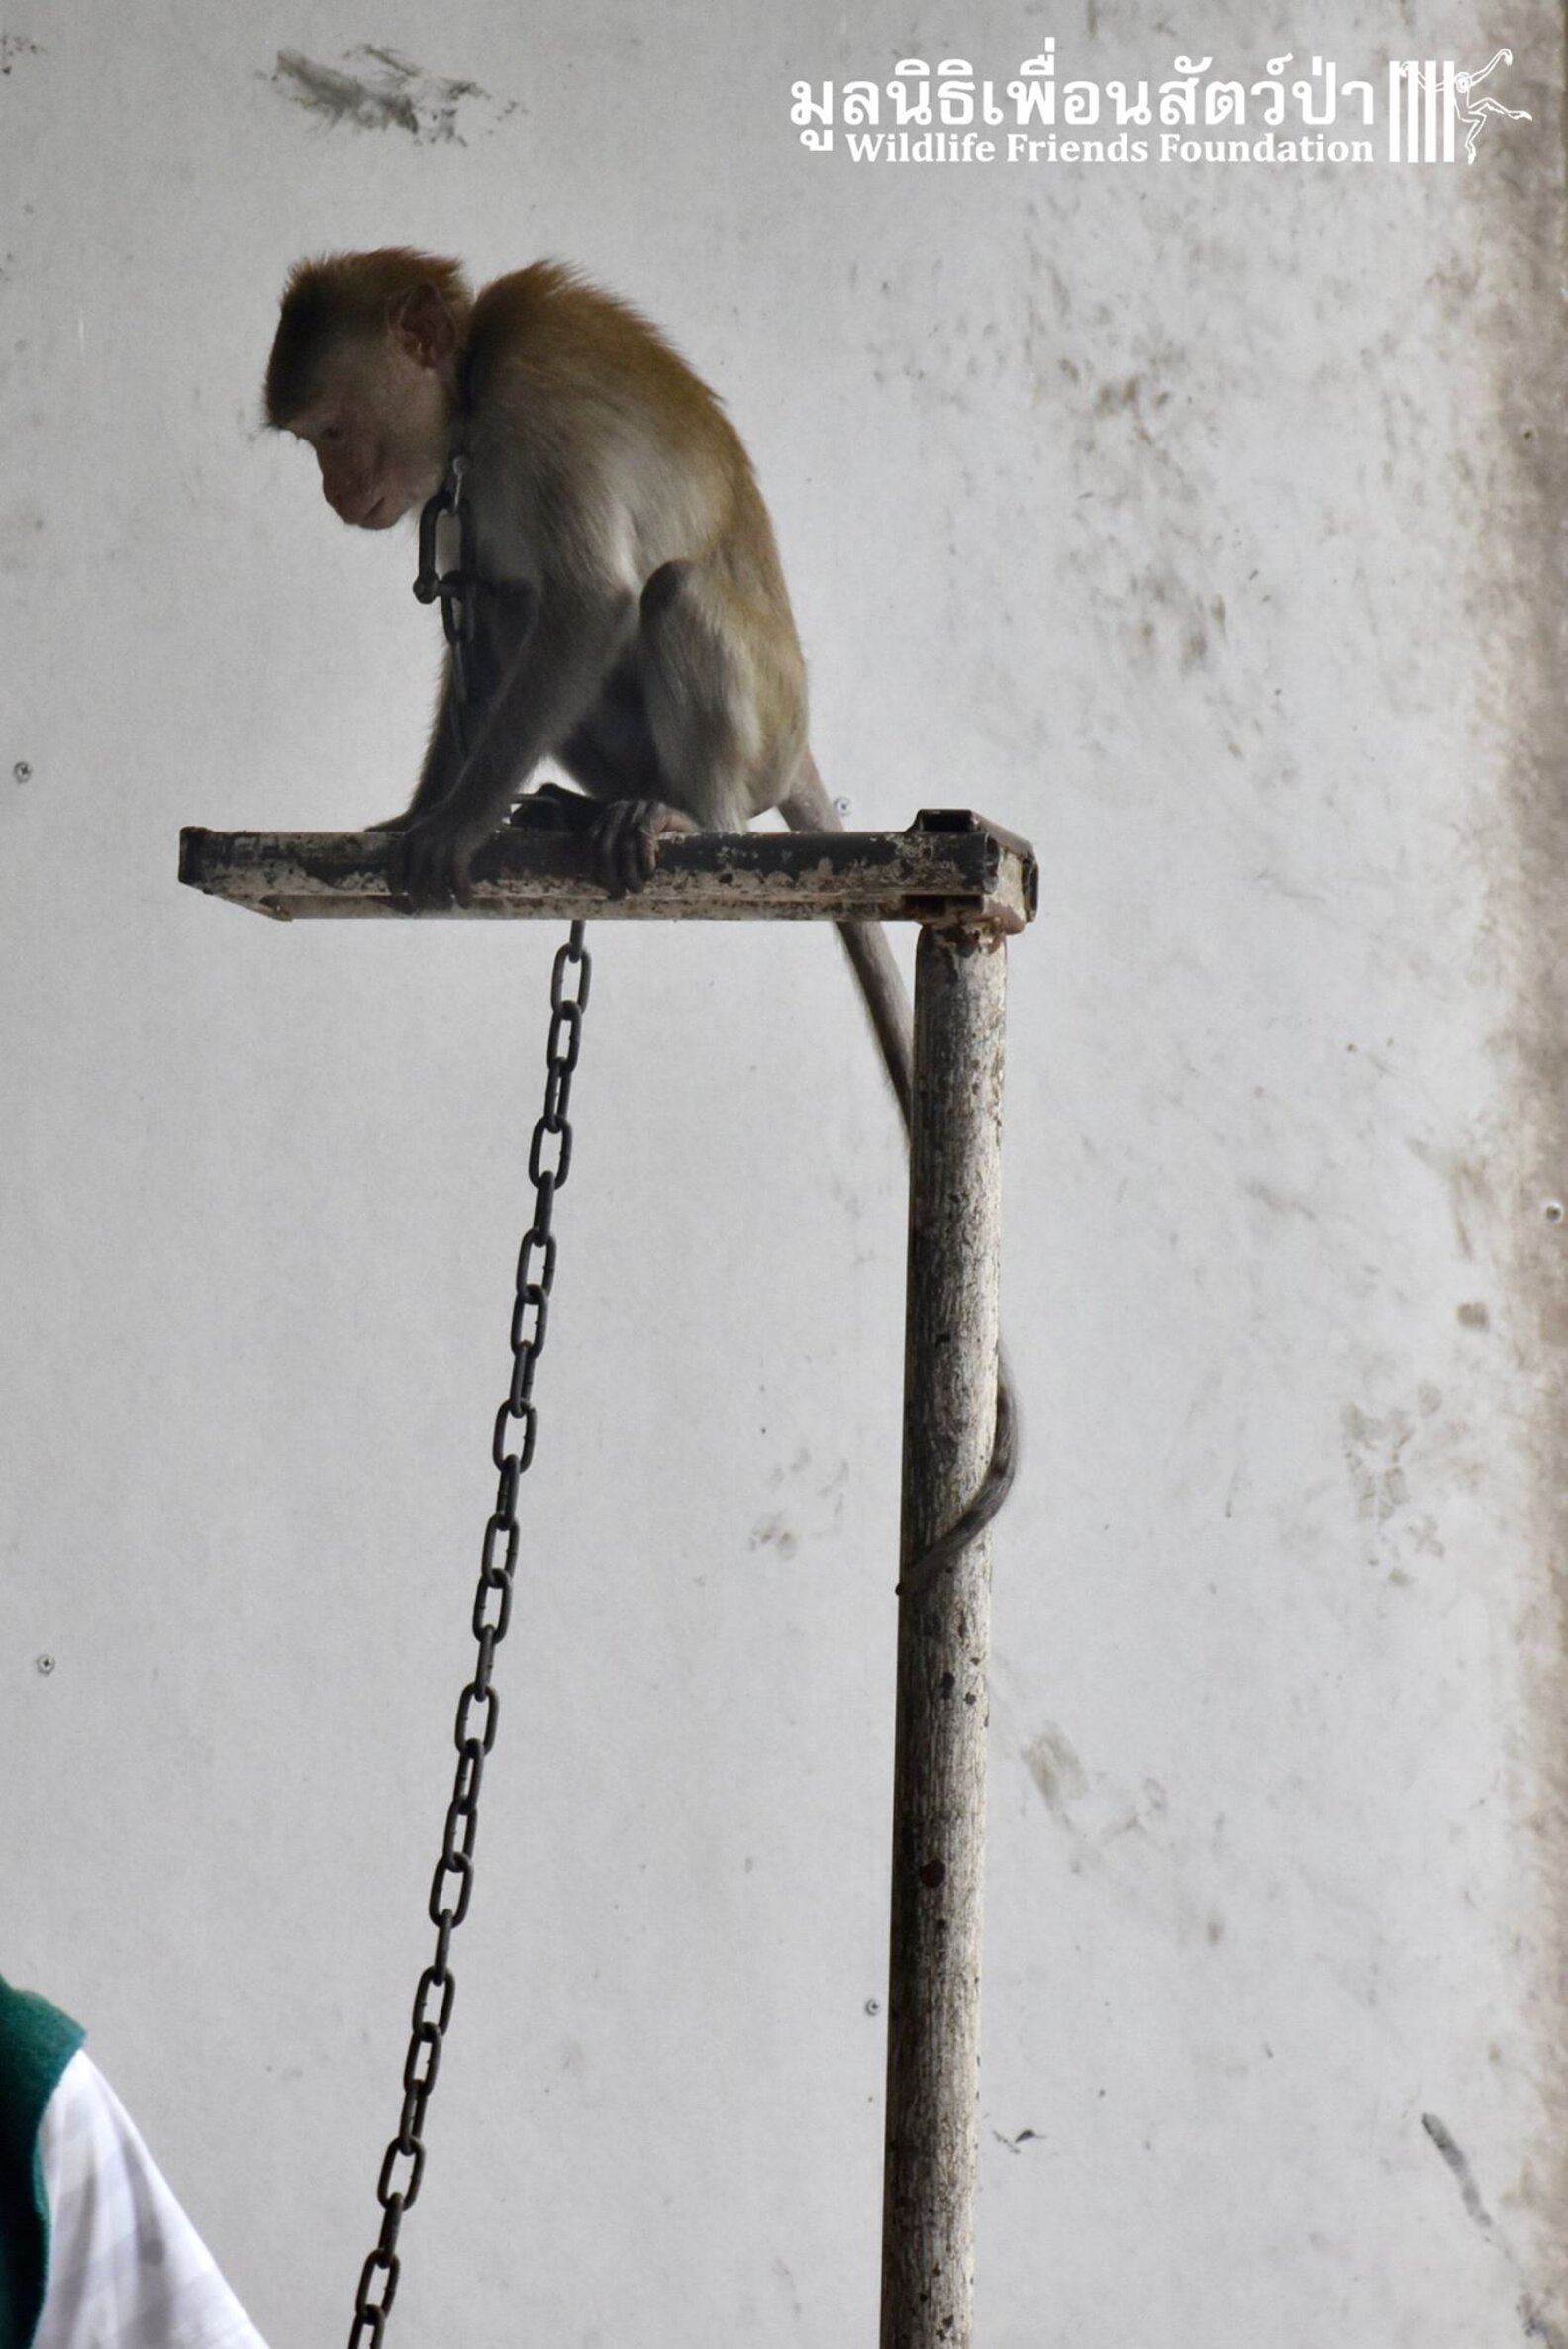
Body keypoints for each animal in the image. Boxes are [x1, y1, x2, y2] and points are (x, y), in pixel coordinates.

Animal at [263, 249, 1012, 1583]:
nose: (337, 491)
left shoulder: (531, 416)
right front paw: (417, 812)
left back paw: (670, 814)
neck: (467, 393)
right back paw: (570, 807)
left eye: (334, 433)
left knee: (664, 597)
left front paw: (454, 825)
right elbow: (496, 614)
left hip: (755, 722)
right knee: (506, 606)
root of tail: (796, 745)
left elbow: (594, 599)